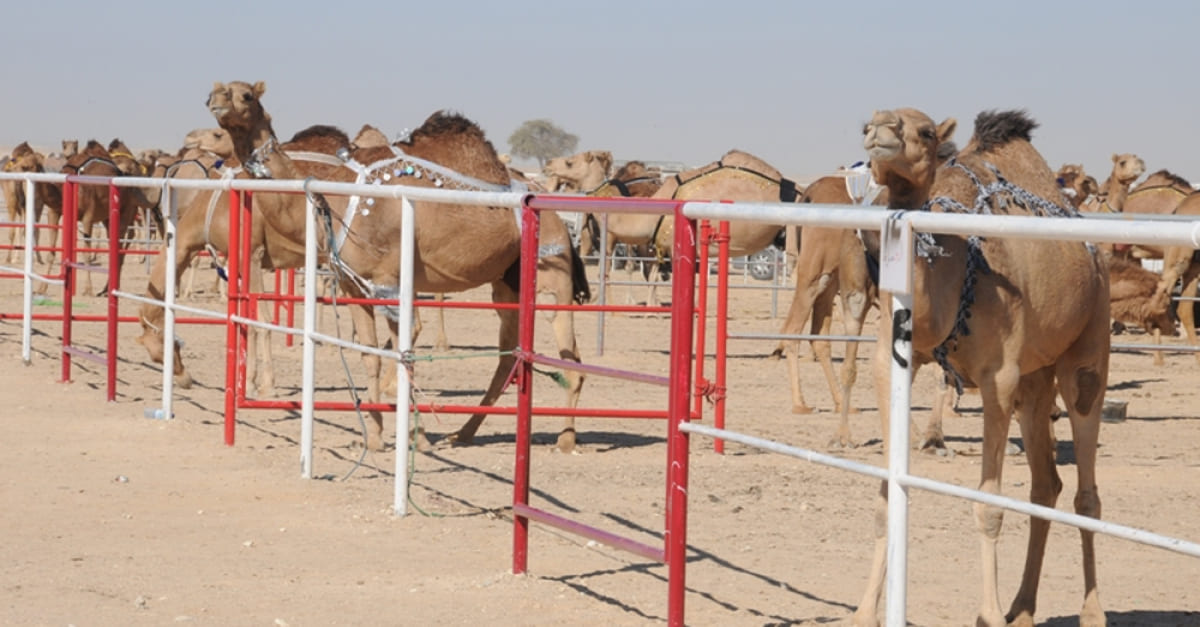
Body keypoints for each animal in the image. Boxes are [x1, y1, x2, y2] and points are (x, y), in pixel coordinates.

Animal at [204, 80, 589, 452]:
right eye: (219, 88)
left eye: (246, 95)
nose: (214, 99)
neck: (337, 202)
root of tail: (559, 220)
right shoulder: (352, 285)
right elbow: (369, 355)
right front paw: (373, 438)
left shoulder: (389, 280)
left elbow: (405, 347)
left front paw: (411, 436)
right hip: (506, 281)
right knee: (509, 356)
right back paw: (462, 433)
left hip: (552, 274)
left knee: (570, 356)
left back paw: (566, 440)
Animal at [853, 109, 1109, 627]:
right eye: (866, 122)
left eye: (926, 131)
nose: (879, 131)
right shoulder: (891, 361)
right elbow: (887, 499)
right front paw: (864, 612)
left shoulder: (998, 377)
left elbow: (989, 506)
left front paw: (986, 614)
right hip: (1036, 377)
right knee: (1045, 485)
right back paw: (1022, 608)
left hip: (1088, 345)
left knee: (1085, 491)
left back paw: (1091, 614)